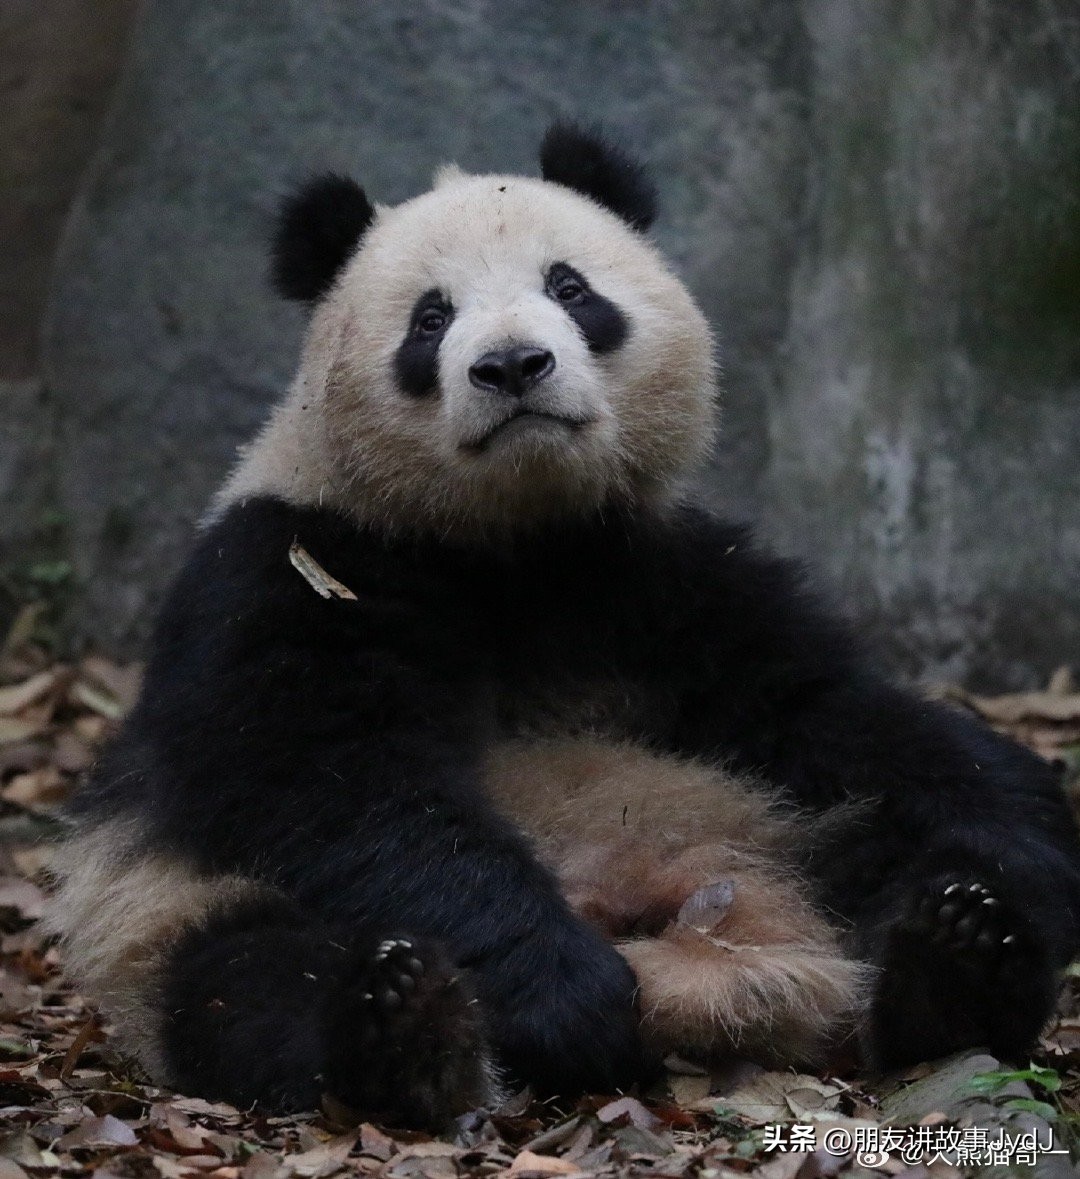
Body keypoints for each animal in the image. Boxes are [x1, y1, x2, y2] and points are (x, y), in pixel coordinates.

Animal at [49, 122, 1080, 1128]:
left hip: (788, 831)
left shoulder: (658, 572)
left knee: (873, 856)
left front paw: (1019, 840)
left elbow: (827, 707)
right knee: (247, 979)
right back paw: (410, 1031)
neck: (513, 538)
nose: (512, 366)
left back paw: (961, 954)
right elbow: (340, 781)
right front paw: (565, 992)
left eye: (570, 288)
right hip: (167, 910)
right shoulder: (295, 562)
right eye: (430, 318)